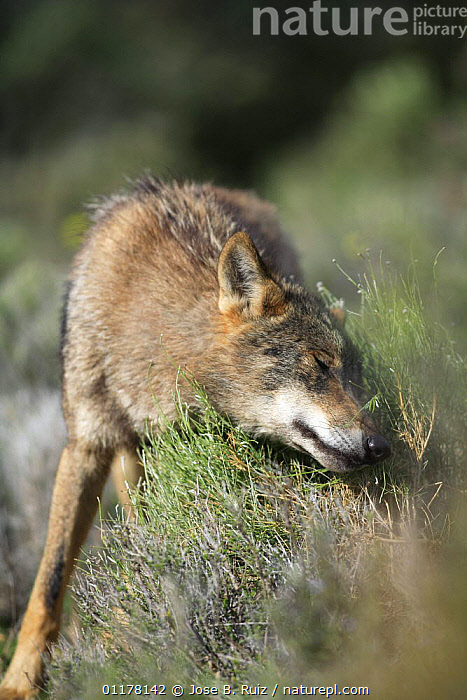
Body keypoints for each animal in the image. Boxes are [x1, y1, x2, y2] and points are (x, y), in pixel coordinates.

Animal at [0, 177, 390, 698]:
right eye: (321, 364)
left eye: (355, 379)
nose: (381, 447)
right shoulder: (86, 444)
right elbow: (50, 578)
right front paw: (20, 680)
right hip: (128, 461)